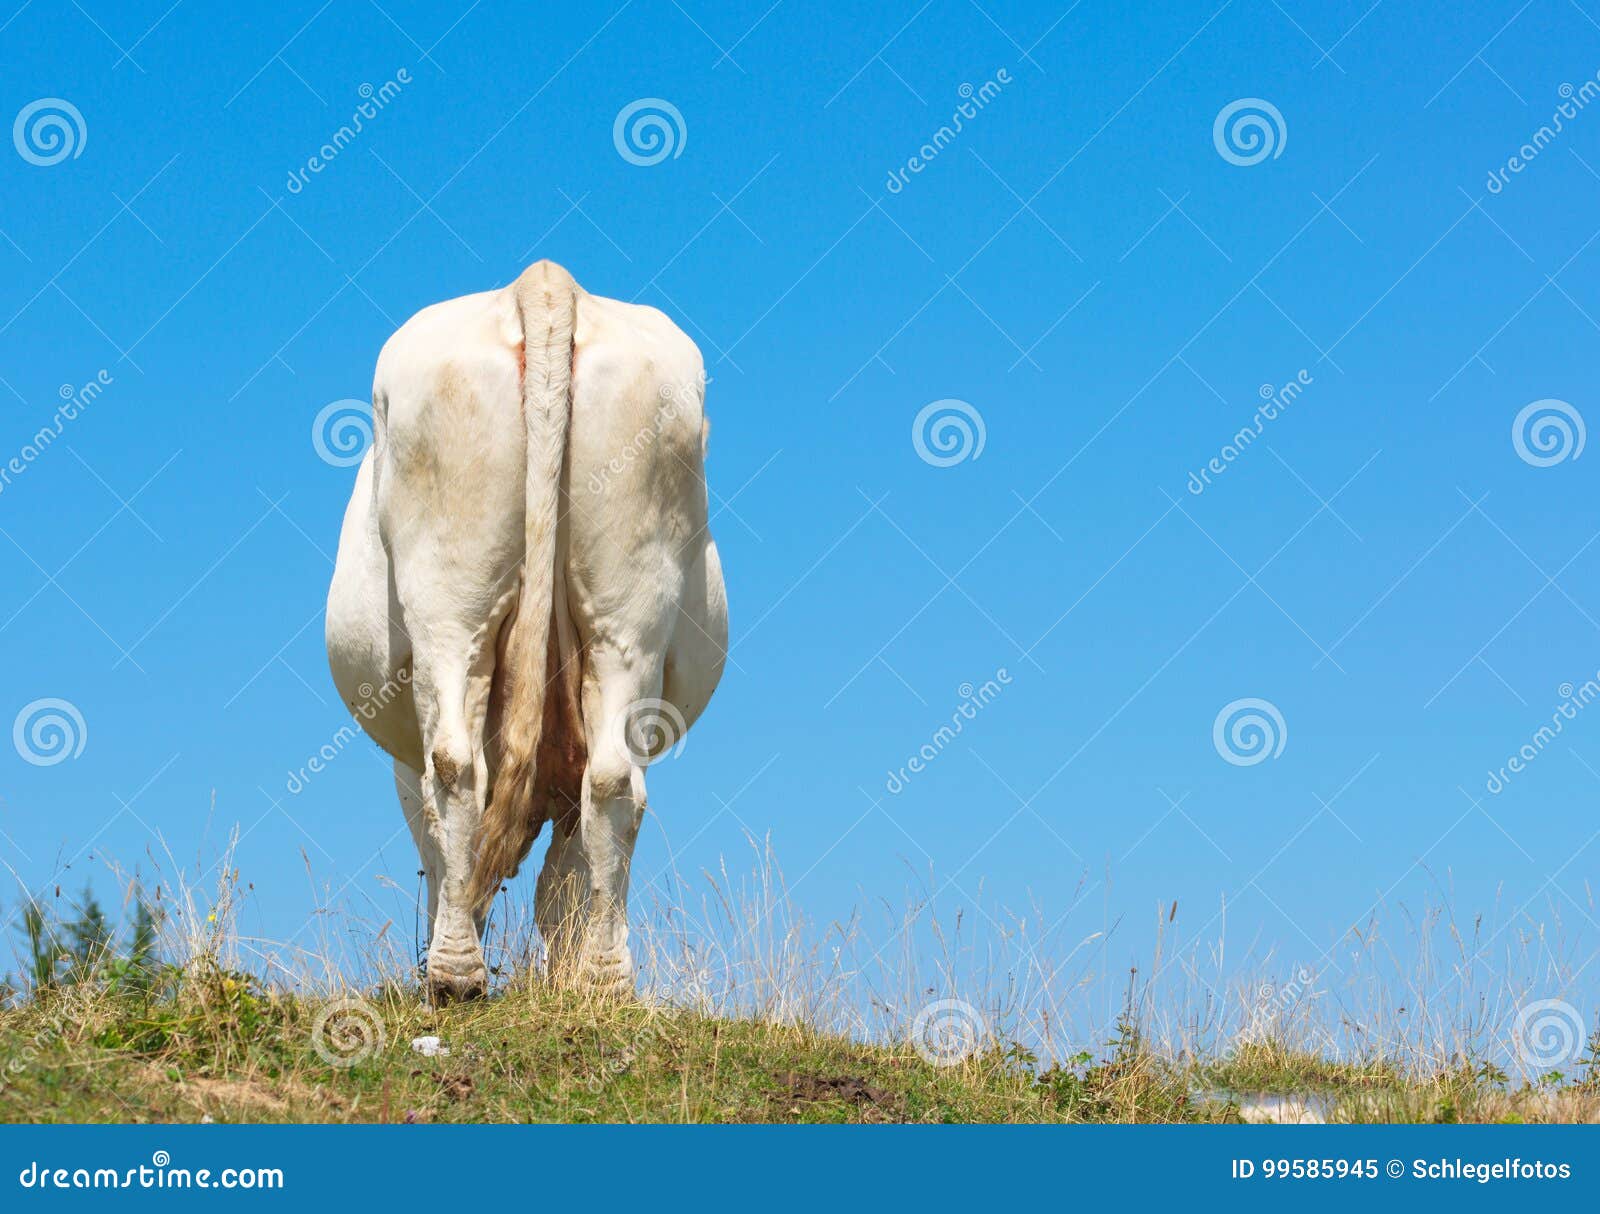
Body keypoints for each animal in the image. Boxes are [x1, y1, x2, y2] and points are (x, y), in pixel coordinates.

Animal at [325, 260, 728, 1002]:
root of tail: (543, 283)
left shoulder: (402, 761)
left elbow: (438, 841)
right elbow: (570, 874)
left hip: (447, 600)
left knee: (455, 768)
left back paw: (453, 974)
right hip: (628, 610)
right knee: (611, 783)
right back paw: (603, 981)